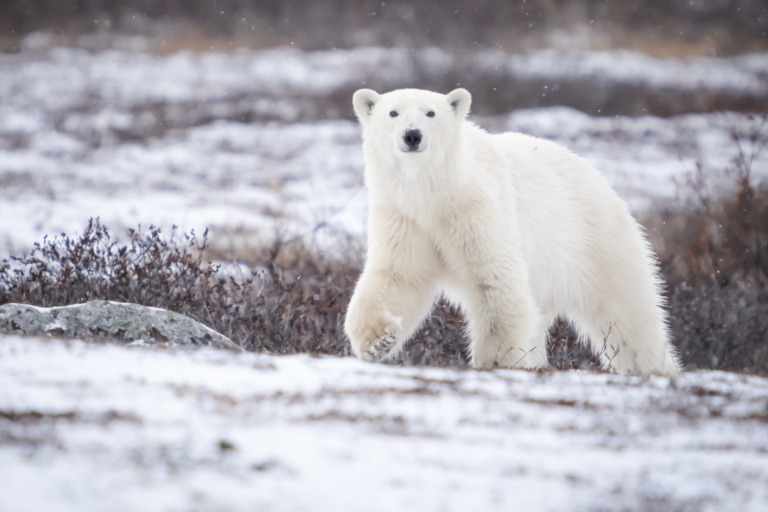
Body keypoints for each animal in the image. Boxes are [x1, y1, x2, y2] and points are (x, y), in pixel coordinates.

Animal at [344, 87, 680, 376]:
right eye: (393, 112)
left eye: (430, 112)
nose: (412, 135)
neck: (434, 194)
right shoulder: (404, 215)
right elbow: (397, 277)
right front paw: (378, 342)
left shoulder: (475, 210)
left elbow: (494, 280)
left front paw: (496, 359)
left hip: (596, 239)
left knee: (629, 311)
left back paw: (654, 368)